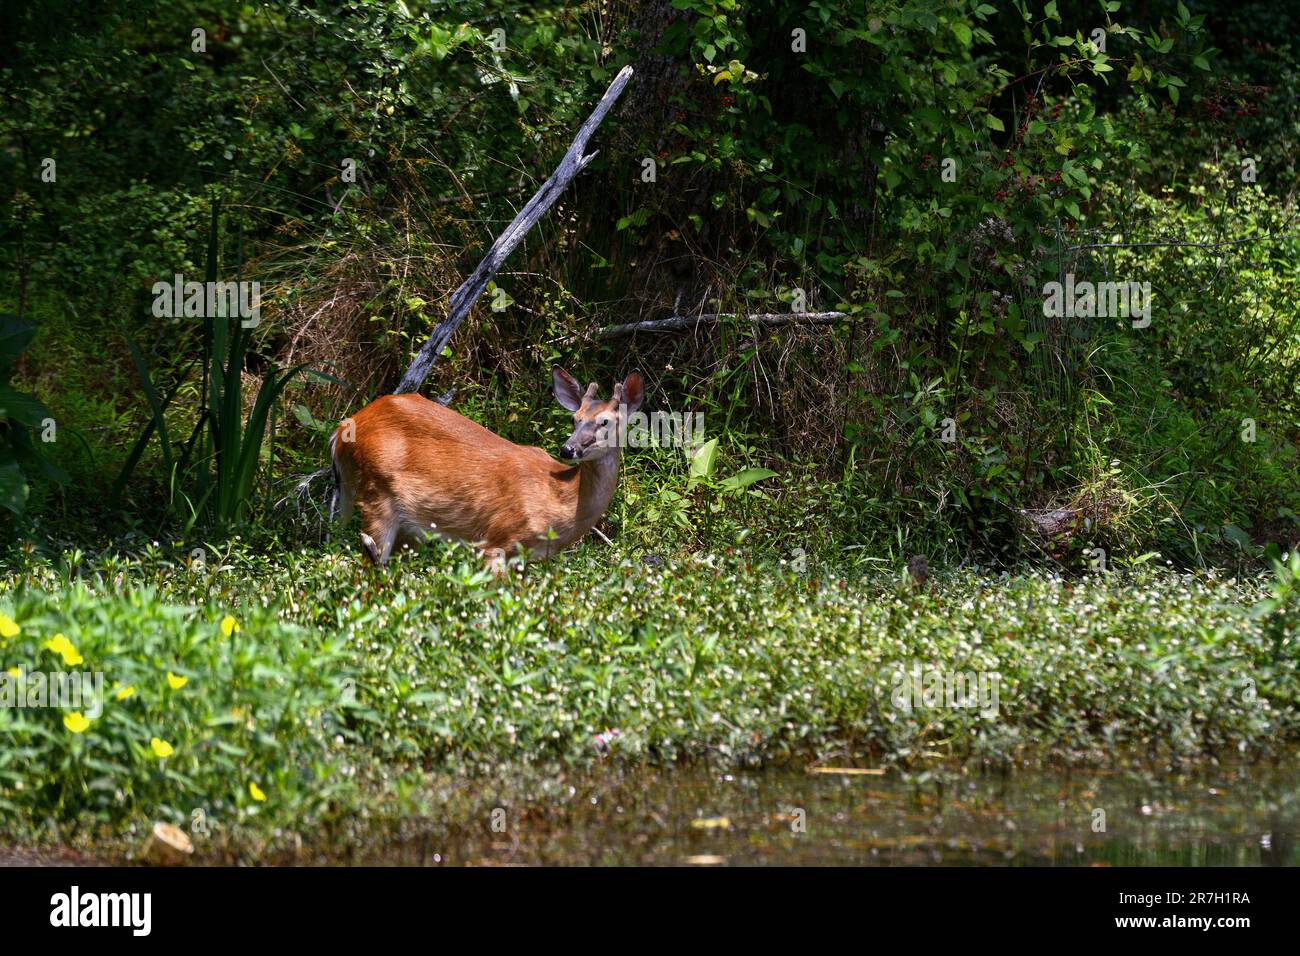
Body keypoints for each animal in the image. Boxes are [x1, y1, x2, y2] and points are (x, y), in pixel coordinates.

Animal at [330, 366, 644, 571]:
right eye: (574, 419)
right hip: (376, 494)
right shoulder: (499, 539)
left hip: (408, 529)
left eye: (605, 421)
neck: (558, 498)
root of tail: (342, 430)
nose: (568, 449)